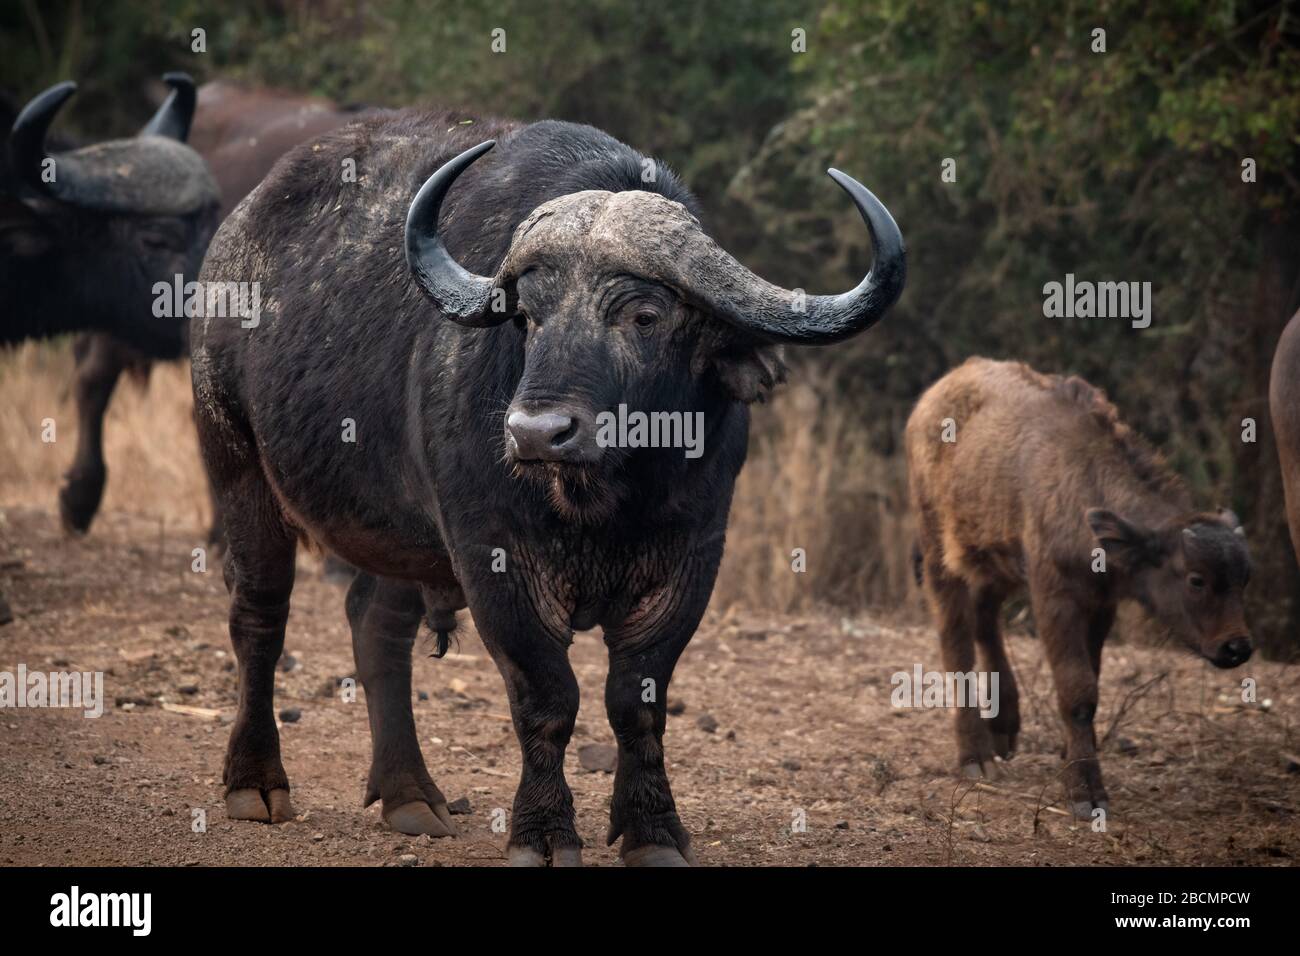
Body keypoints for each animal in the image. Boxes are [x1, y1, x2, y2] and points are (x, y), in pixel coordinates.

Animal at [192, 109, 905, 865]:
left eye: (644, 315)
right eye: (528, 315)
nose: (536, 432)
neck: (606, 499)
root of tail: (232, 243)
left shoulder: (692, 558)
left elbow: (636, 700)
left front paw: (653, 830)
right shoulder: (494, 559)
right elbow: (547, 698)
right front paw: (542, 831)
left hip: (401, 536)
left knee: (376, 625)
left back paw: (409, 795)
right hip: (236, 467)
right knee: (259, 618)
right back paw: (256, 782)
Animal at [906, 358, 1252, 818]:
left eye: (1244, 577)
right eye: (1196, 579)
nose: (1237, 647)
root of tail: (935, 395)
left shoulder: (1101, 603)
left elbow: (1094, 681)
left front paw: (1070, 758)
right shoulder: (1056, 597)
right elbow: (1077, 690)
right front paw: (1086, 790)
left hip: (996, 559)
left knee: (984, 616)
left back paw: (1004, 728)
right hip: (939, 550)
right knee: (955, 636)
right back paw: (975, 754)